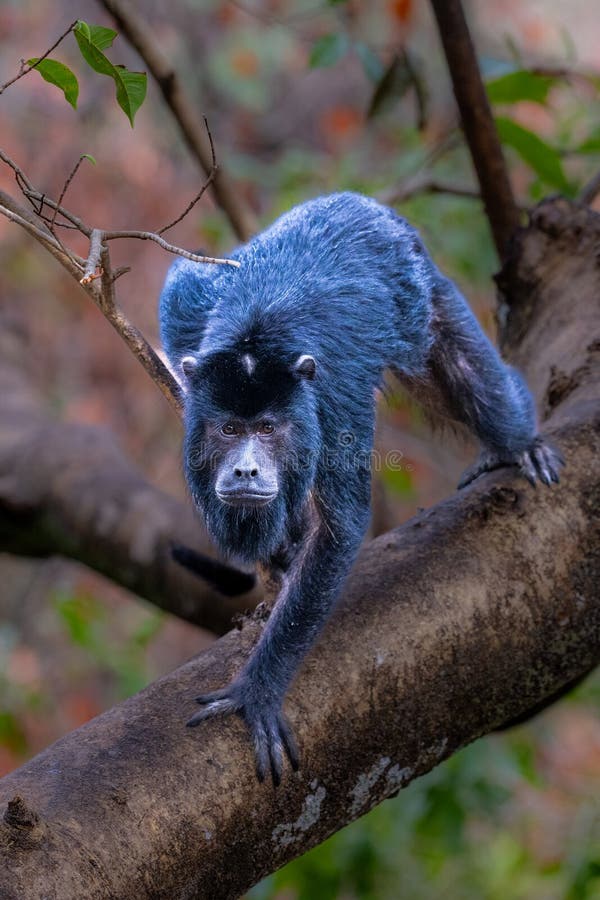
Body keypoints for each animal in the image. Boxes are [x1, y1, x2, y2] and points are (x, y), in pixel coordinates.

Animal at [159, 192, 563, 785]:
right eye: (229, 429)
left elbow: (341, 527)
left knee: (479, 387)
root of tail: (360, 205)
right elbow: (180, 294)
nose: (246, 471)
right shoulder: (188, 311)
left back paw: (519, 441)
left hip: (421, 290)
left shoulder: (330, 397)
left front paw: (258, 691)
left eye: (268, 429)